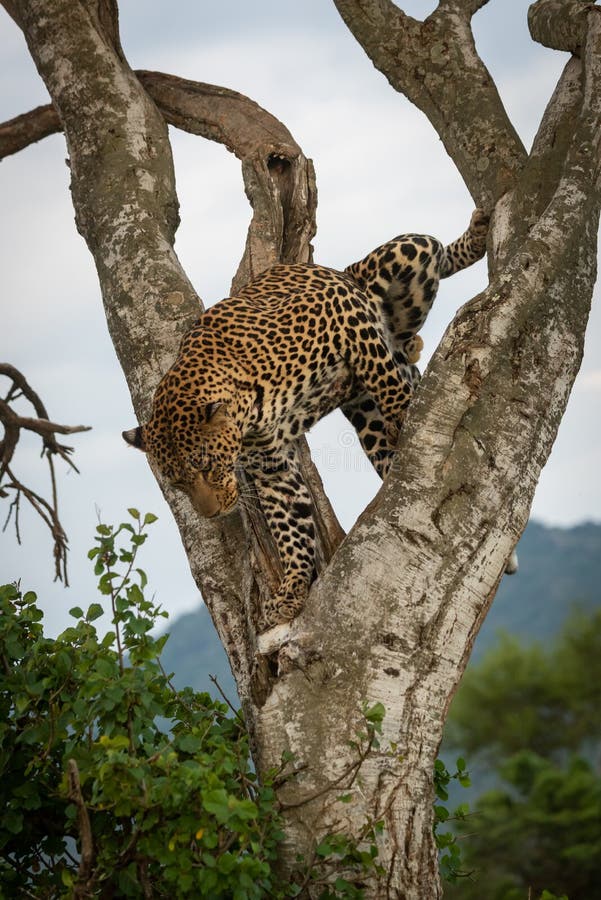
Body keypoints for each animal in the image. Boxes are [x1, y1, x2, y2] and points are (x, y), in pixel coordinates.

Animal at [123, 209, 490, 630]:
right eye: (178, 484)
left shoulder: (336, 308)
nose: (212, 513)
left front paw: (402, 411)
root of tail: (339, 269)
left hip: (396, 259)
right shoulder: (270, 464)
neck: (248, 406)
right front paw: (292, 590)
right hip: (367, 419)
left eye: (208, 467)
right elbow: (290, 526)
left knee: (429, 263)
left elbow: (381, 373)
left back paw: (474, 239)